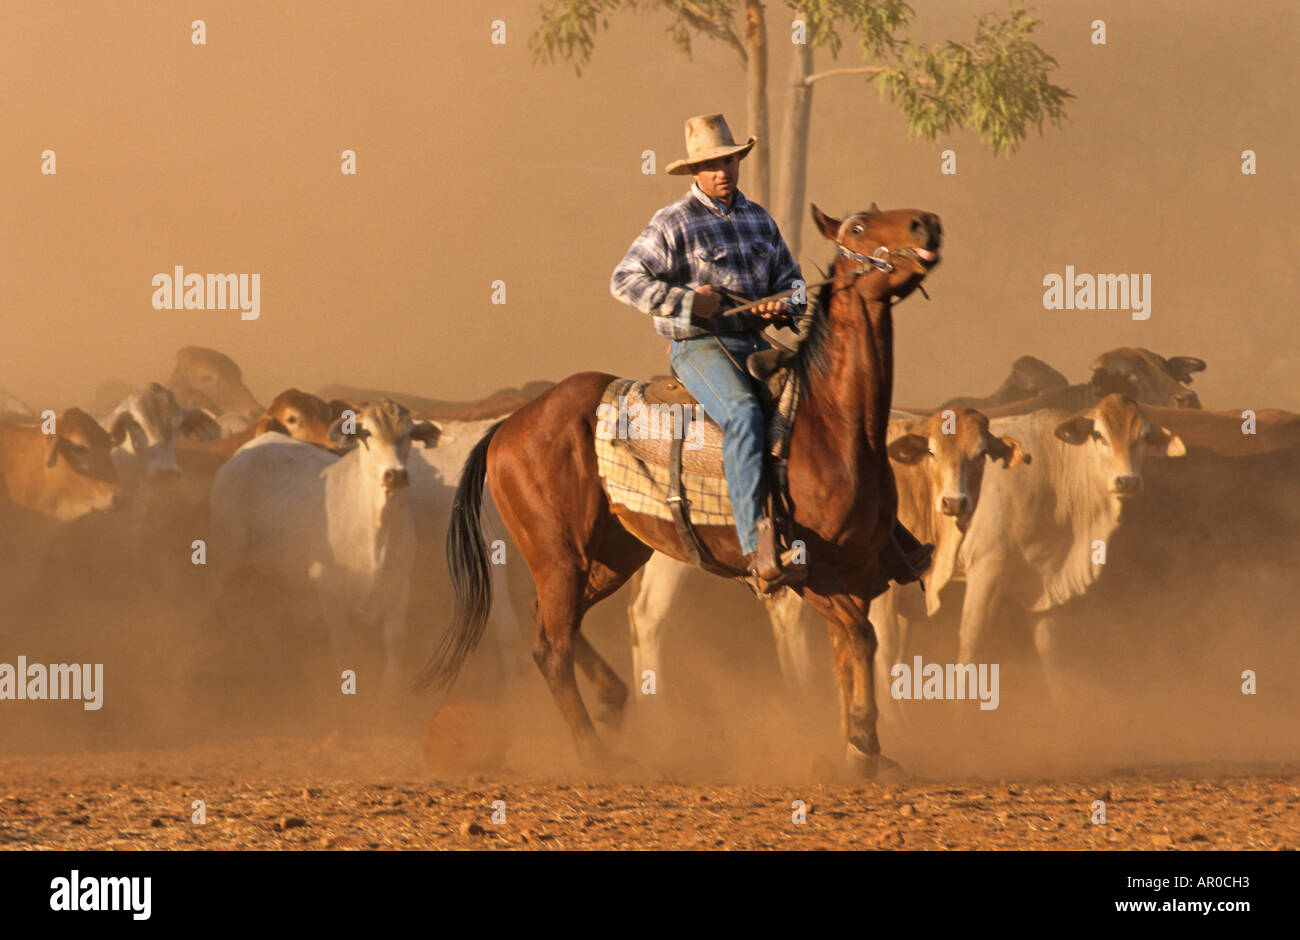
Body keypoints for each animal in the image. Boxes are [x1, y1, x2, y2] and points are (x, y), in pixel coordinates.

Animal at [209, 400, 440, 693]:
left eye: (410, 434)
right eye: (367, 433)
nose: (395, 475)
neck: (378, 528)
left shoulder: (399, 586)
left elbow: (395, 640)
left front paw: (389, 693)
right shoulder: (332, 595)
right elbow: (345, 649)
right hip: (224, 554)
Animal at [416, 202, 943, 777]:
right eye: (860, 229)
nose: (926, 223)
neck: (830, 425)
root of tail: (508, 426)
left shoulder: (857, 574)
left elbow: (849, 651)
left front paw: (861, 749)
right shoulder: (812, 572)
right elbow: (862, 638)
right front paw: (864, 742)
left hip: (615, 554)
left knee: (555, 622)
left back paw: (612, 700)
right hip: (559, 557)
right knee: (550, 647)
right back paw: (595, 754)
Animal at [954, 394, 1186, 701]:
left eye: (1145, 436)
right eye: (1098, 434)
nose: (1128, 481)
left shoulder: (1045, 582)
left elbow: (1052, 653)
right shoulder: (986, 566)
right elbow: (971, 647)